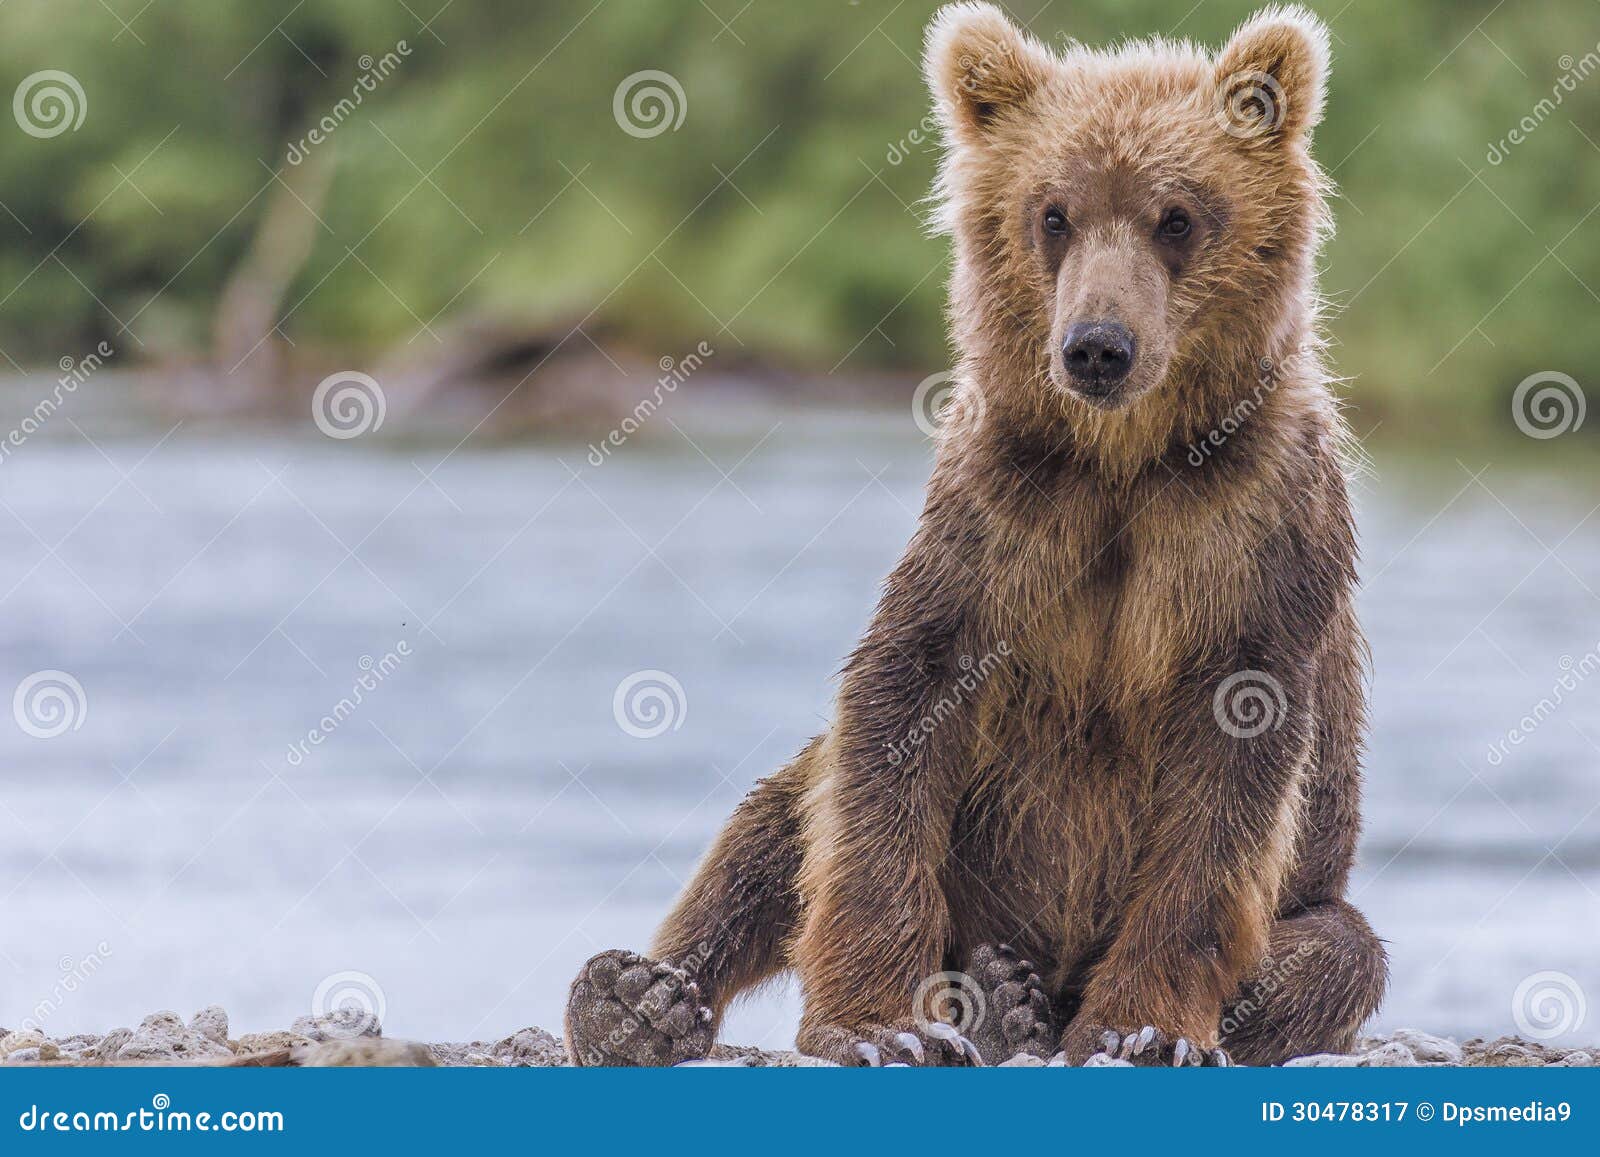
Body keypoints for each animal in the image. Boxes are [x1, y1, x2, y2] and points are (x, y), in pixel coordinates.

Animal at [564, 2, 1386, 1067]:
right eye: (1053, 213)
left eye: (1177, 216)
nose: (1097, 346)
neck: (1125, 462)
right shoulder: (1004, 518)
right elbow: (895, 714)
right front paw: (875, 1021)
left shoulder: (1252, 532)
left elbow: (1230, 775)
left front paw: (1142, 1026)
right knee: (777, 818)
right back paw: (646, 997)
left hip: (1315, 896)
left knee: (1337, 955)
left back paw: (1017, 1000)